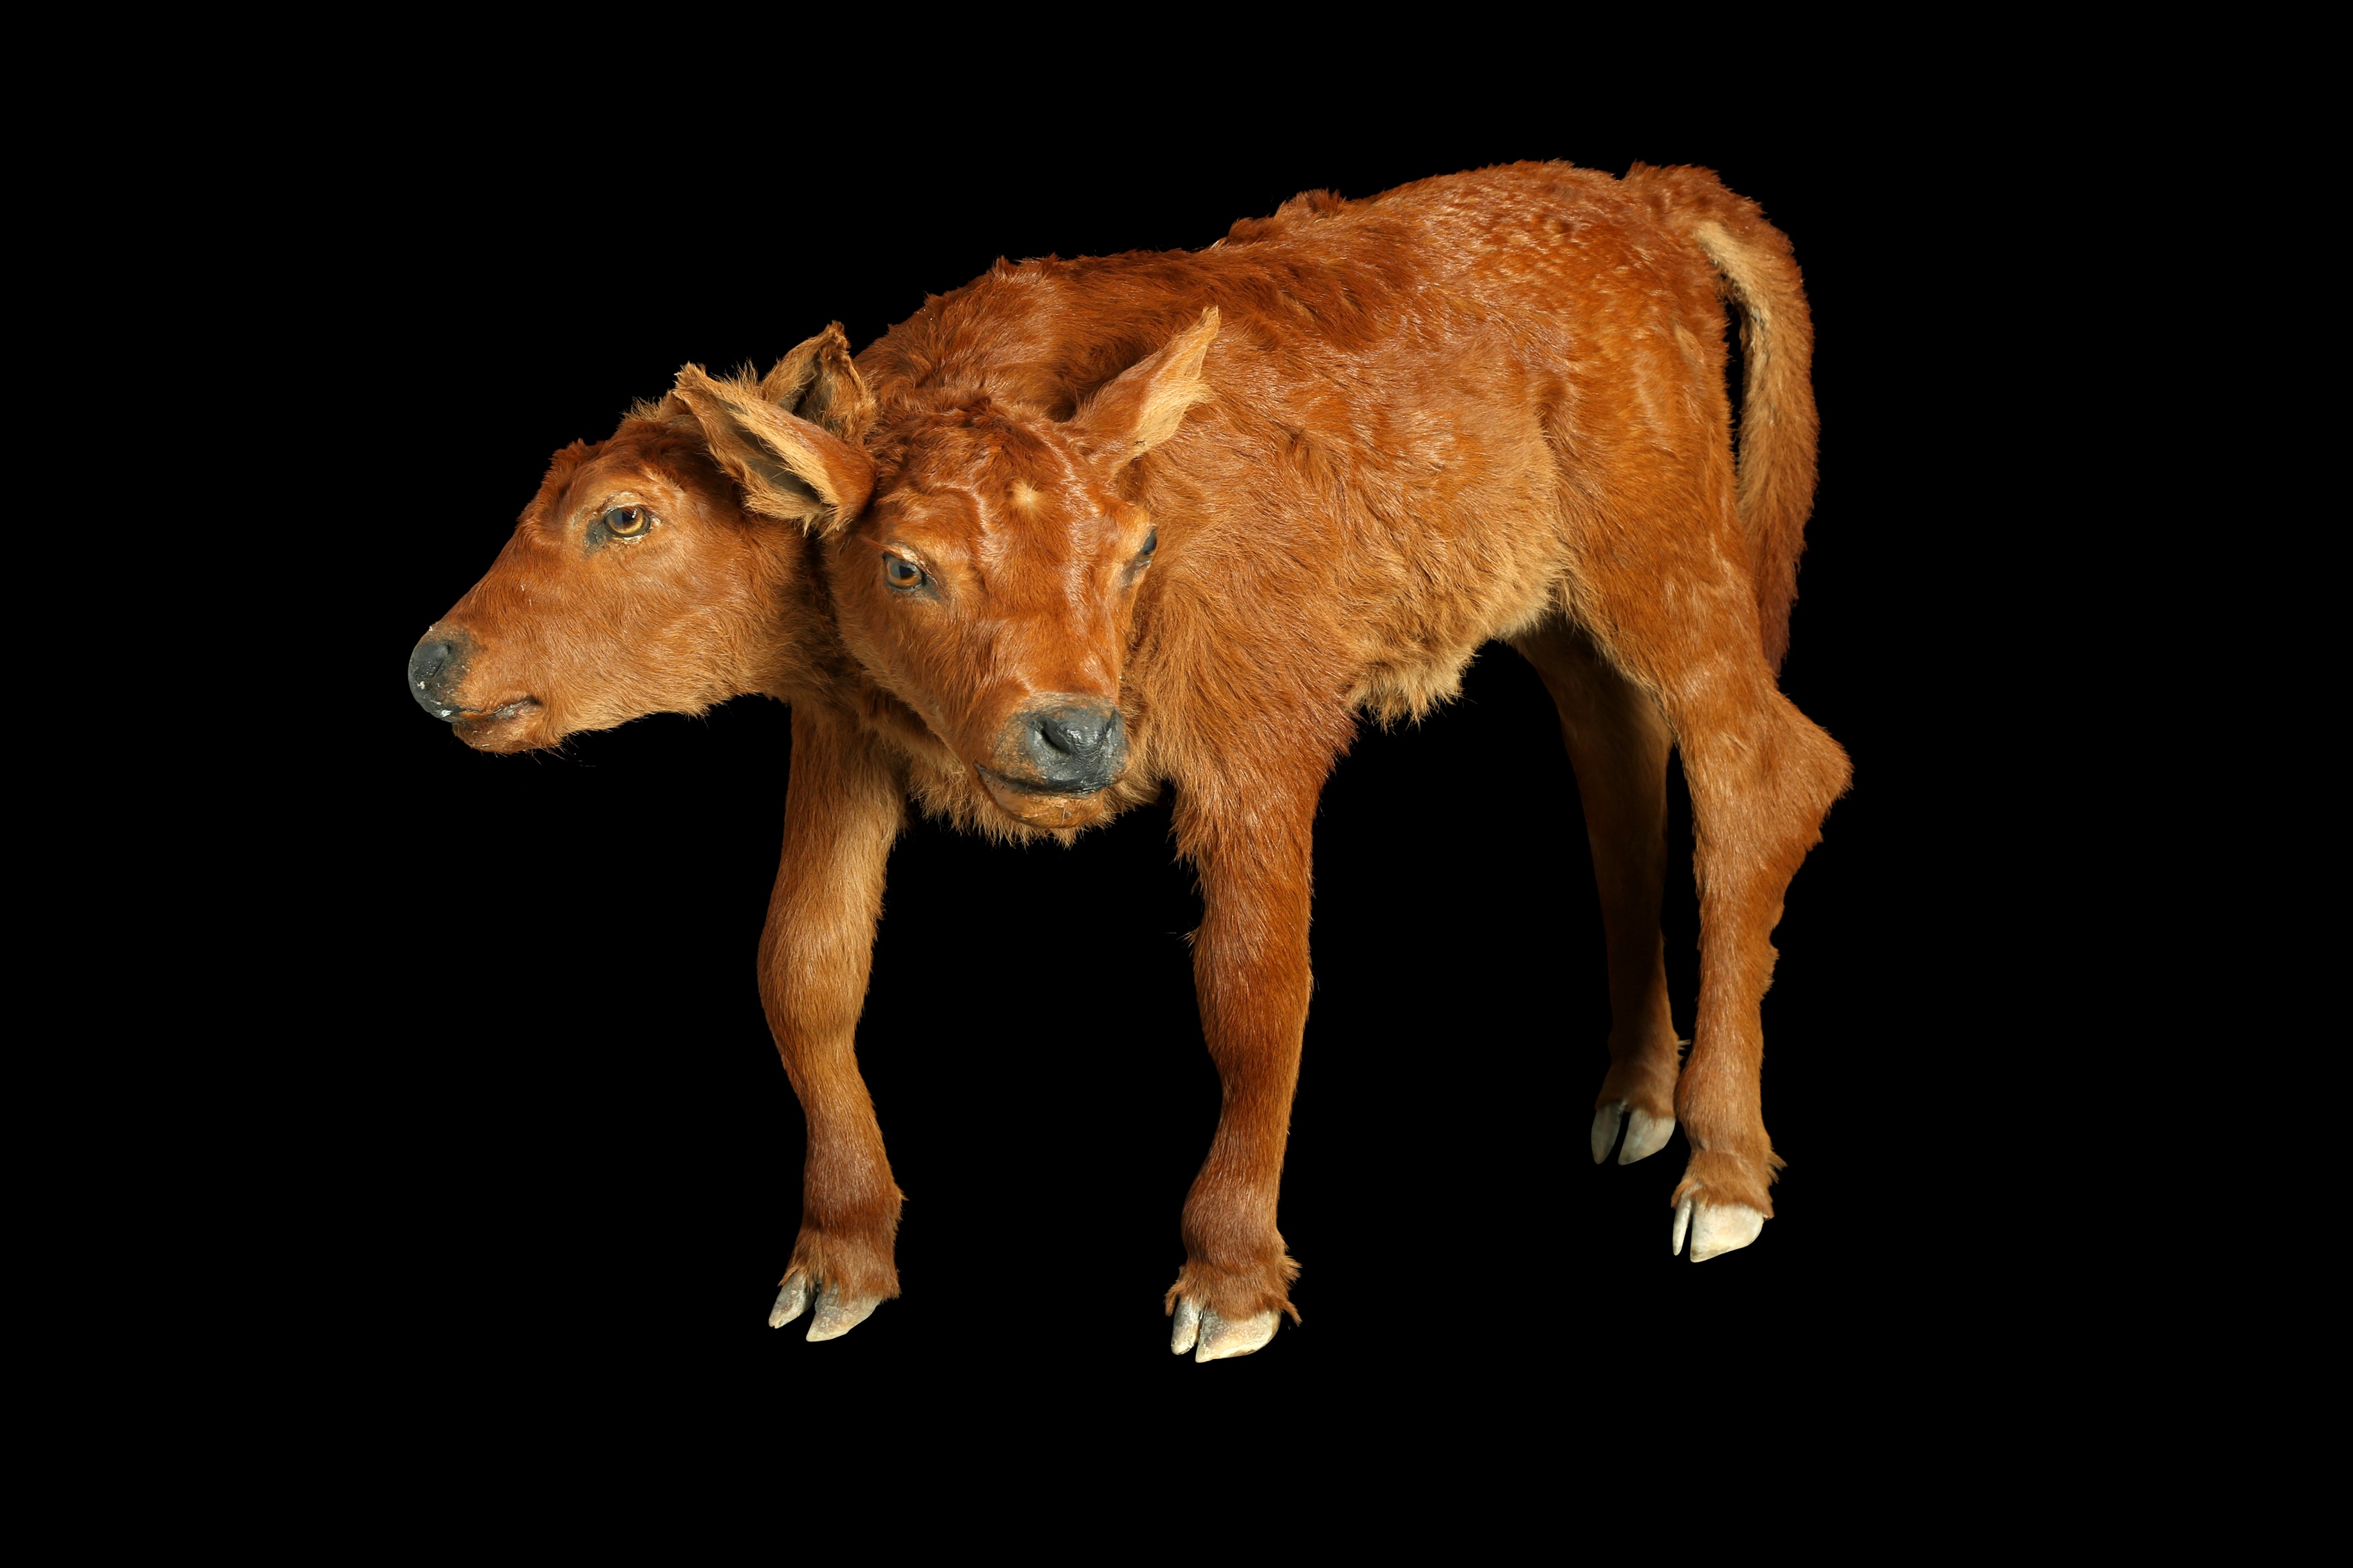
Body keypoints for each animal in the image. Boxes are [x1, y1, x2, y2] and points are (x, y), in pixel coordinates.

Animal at [409, 161, 1848, 1362]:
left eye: (625, 517)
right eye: (904, 566)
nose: (433, 661)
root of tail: (1643, 199)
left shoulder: (1261, 746)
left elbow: (1254, 990)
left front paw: (1231, 1280)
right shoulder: (843, 745)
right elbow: (803, 970)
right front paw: (839, 1261)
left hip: (1666, 566)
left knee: (1762, 771)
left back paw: (1721, 1170)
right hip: (1561, 615)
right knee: (1623, 770)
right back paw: (1637, 1098)